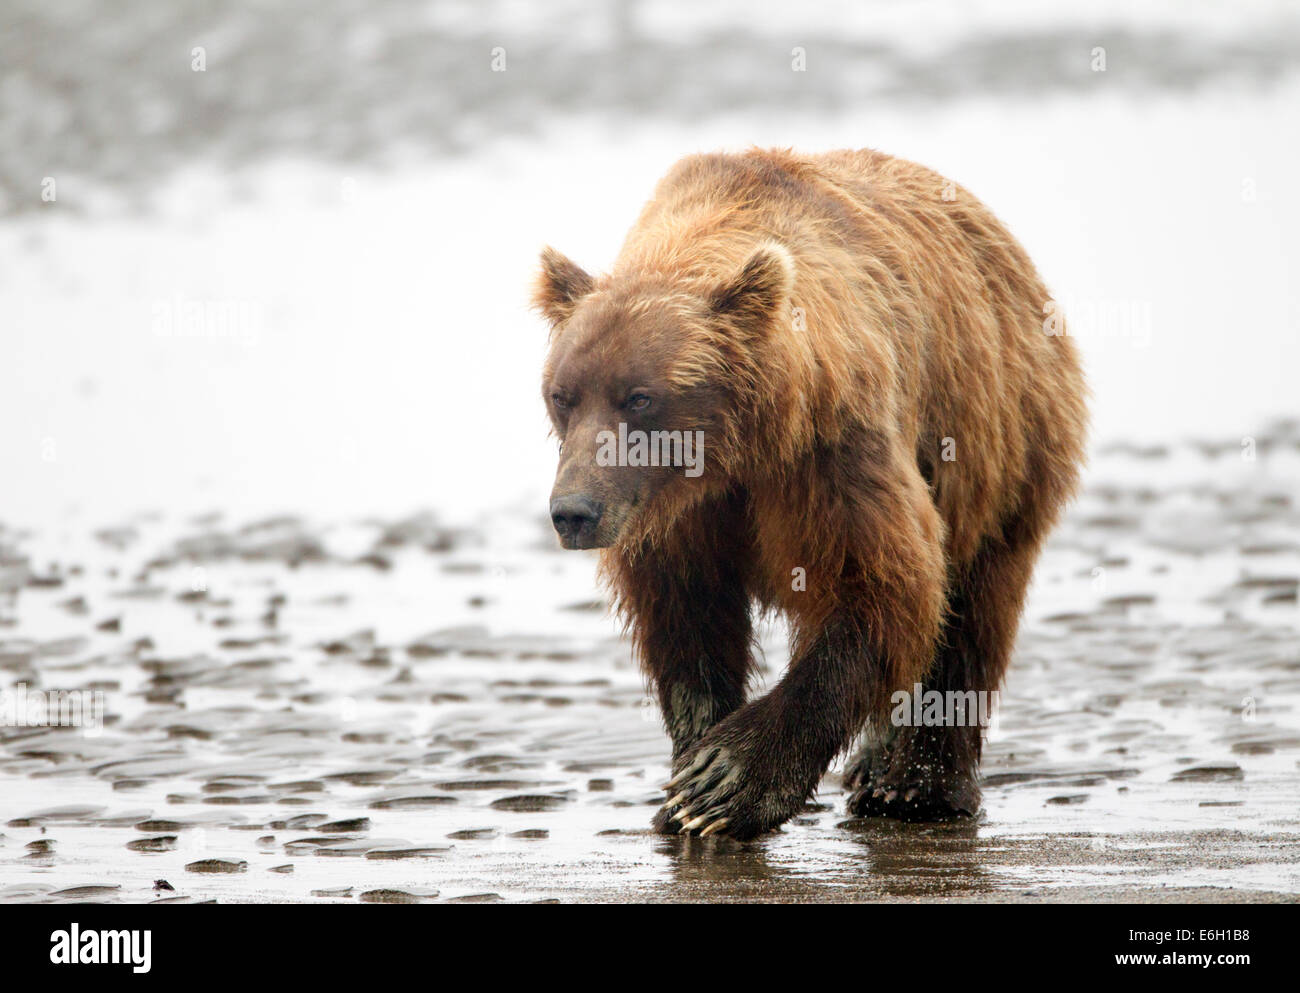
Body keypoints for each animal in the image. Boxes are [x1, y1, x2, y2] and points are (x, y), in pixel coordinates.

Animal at [534, 146, 1087, 840]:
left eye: (638, 398)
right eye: (562, 395)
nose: (572, 513)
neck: (731, 455)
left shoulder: (830, 454)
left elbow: (880, 588)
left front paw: (724, 784)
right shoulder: (675, 514)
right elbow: (686, 619)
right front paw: (685, 780)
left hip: (1003, 447)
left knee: (972, 617)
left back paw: (918, 788)